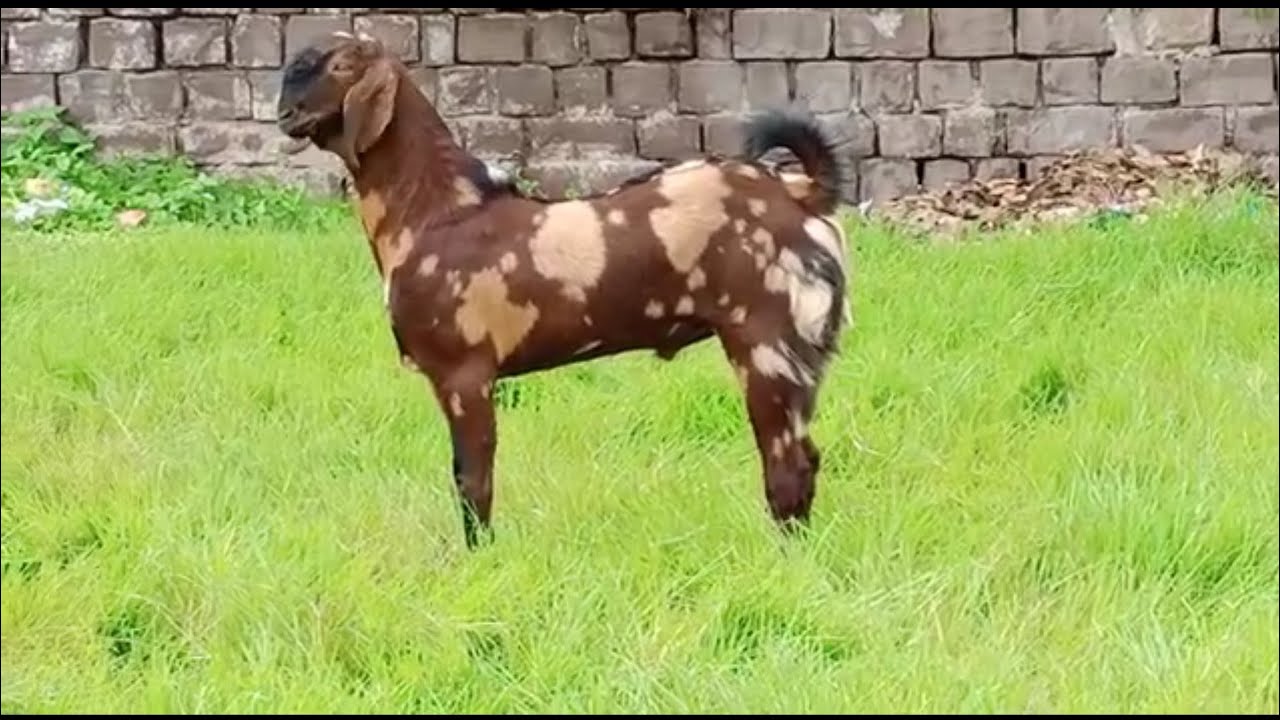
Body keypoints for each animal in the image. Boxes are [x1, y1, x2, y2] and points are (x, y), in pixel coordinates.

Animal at [275, 33, 855, 548]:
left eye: (333, 64)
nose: (281, 110)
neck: (441, 210)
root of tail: (802, 193)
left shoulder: (465, 376)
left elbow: (472, 485)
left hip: (767, 348)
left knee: (788, 469)